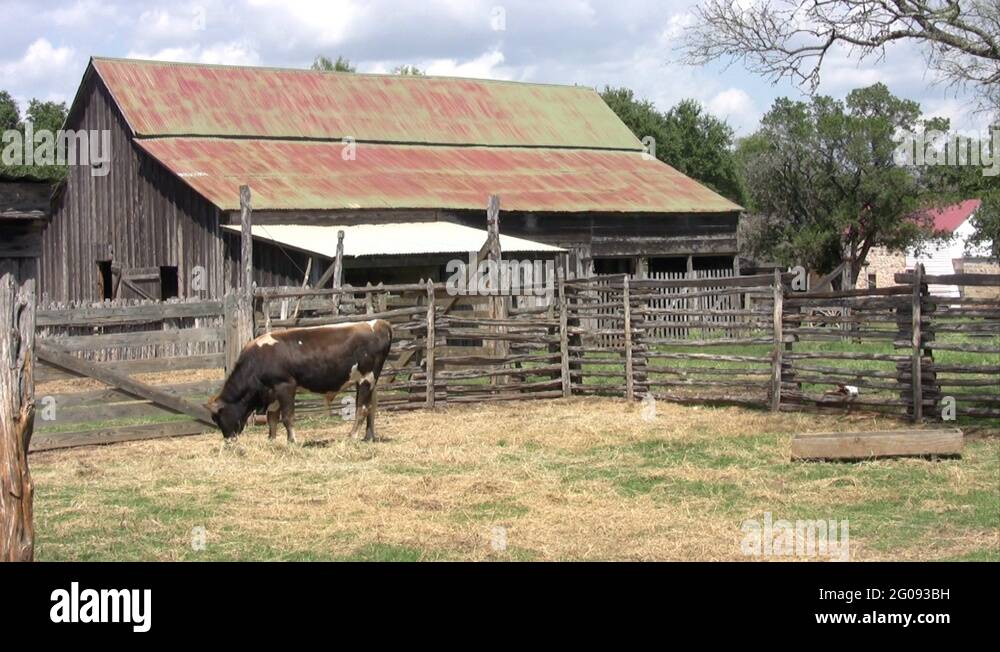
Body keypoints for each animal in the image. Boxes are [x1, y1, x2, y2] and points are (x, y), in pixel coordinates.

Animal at [205, 319, 393, 443]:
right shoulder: (272, 392)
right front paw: (272, 440)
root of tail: (378, 323)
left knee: (362, 408)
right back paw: (369, 437)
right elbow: (272, 417)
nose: (228, 441)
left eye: (218, 417)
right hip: (371, 381)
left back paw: (352, 436)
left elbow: (287, 416)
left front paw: (292, 441)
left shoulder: (285, 385)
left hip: (365, 378)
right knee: (372, 407)